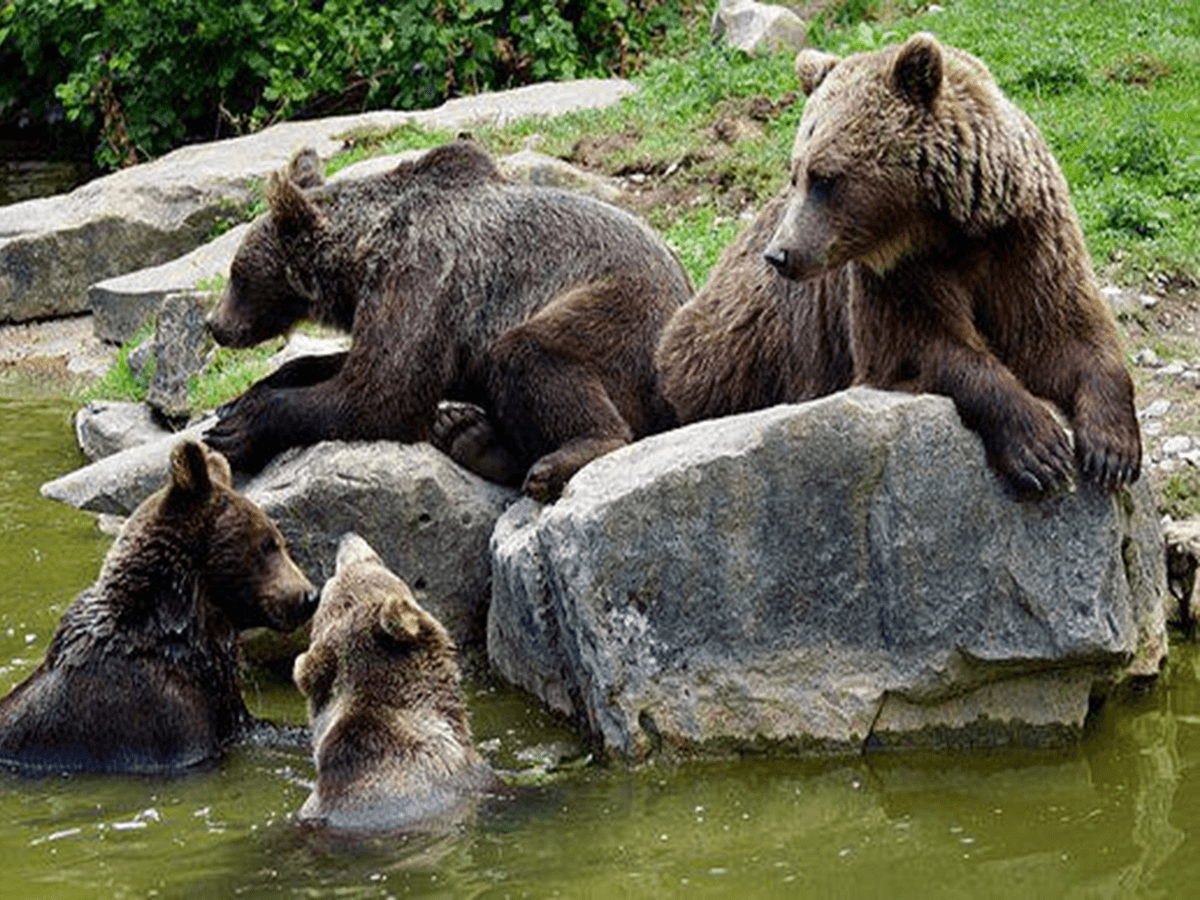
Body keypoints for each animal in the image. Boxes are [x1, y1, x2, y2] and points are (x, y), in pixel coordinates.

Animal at [205, 140, 693, 502]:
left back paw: (559, 457)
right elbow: (354, 365)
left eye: (236, 274)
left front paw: (237, 428)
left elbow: (381, 393)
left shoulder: (422, 272)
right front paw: (241, 397)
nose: (214, 324)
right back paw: (470, 436)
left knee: (529, 352)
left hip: (621, 312)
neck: (360, 259)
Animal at [761, 33, 1141, 495]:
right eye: (795, 173)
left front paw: (1111, 451)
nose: (780, 254)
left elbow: (1061, 332)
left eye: (825, 177)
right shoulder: (899, 274)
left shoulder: (1024, 237)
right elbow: (927, 347)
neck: (948, 227)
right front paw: (1040, 449)